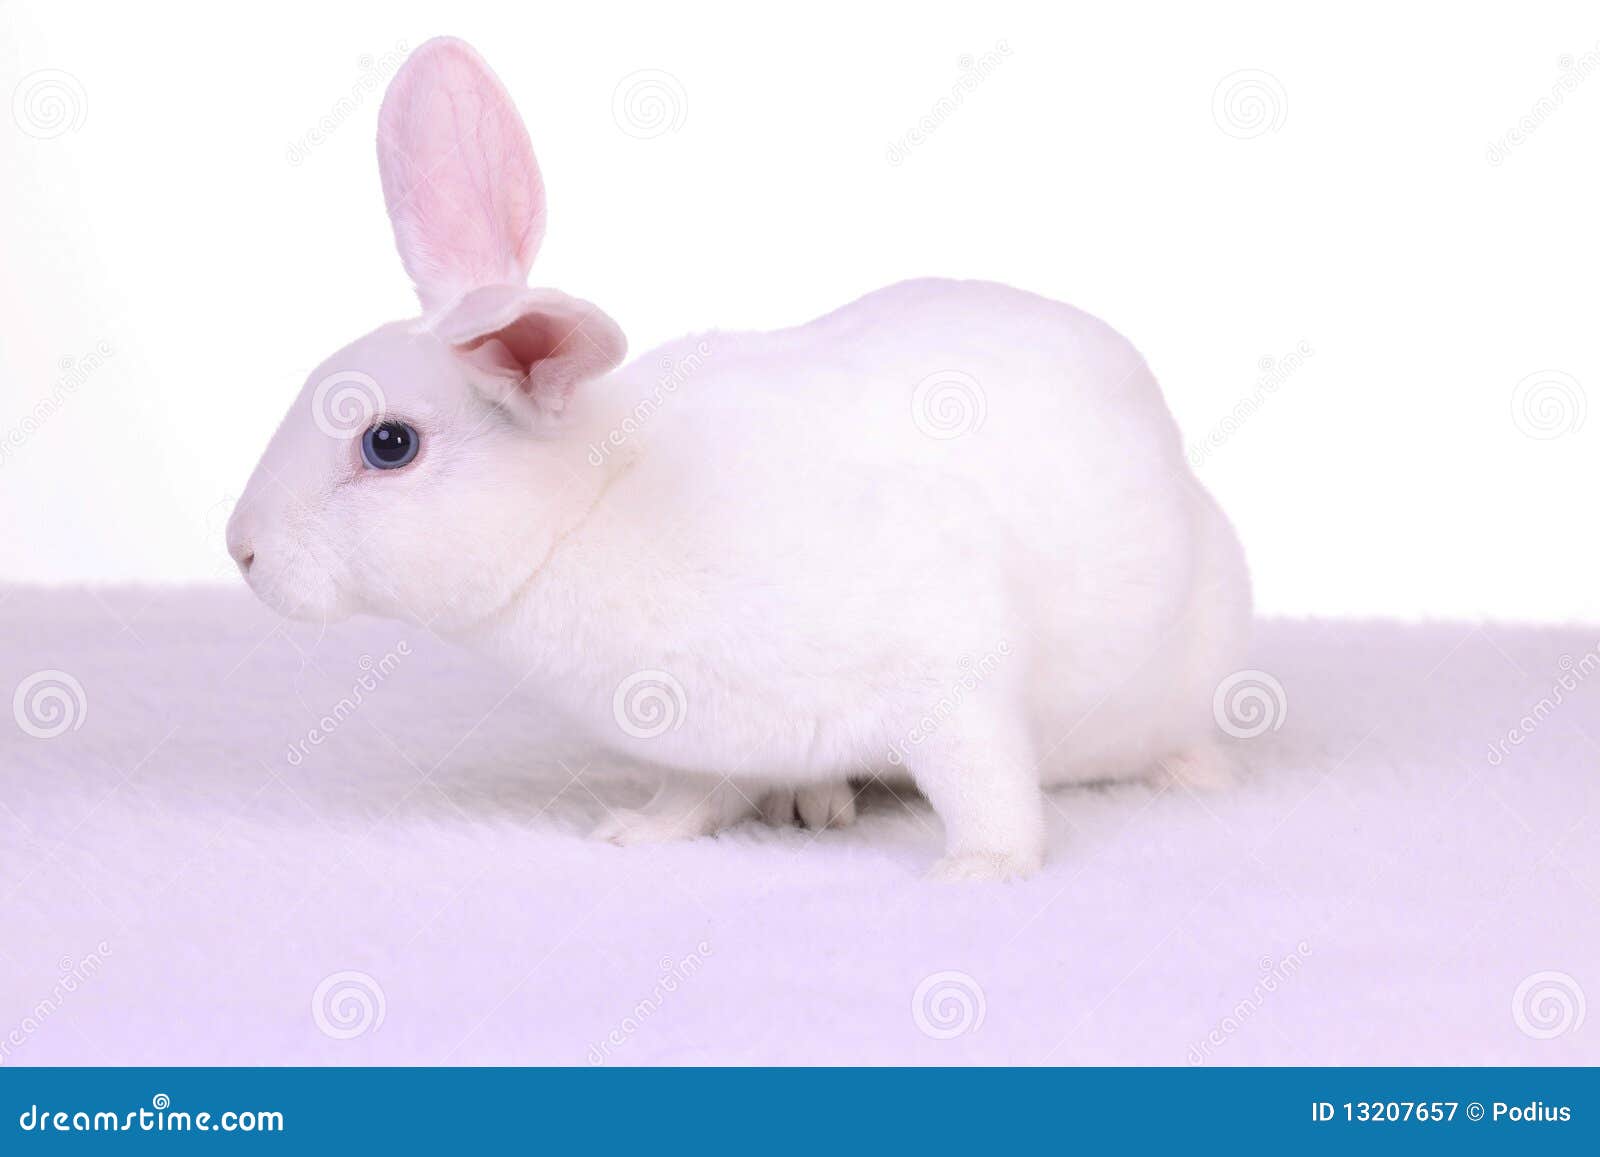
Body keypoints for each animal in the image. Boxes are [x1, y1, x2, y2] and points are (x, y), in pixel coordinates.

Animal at [226, 36, 1251, 881]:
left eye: (388, 444)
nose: (241, 549)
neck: (586, 508)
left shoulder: (950, 669)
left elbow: (985, 779)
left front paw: (982, 870)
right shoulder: (711, 736)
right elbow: (697, 795)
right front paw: (636, 830)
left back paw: (1196, 774)